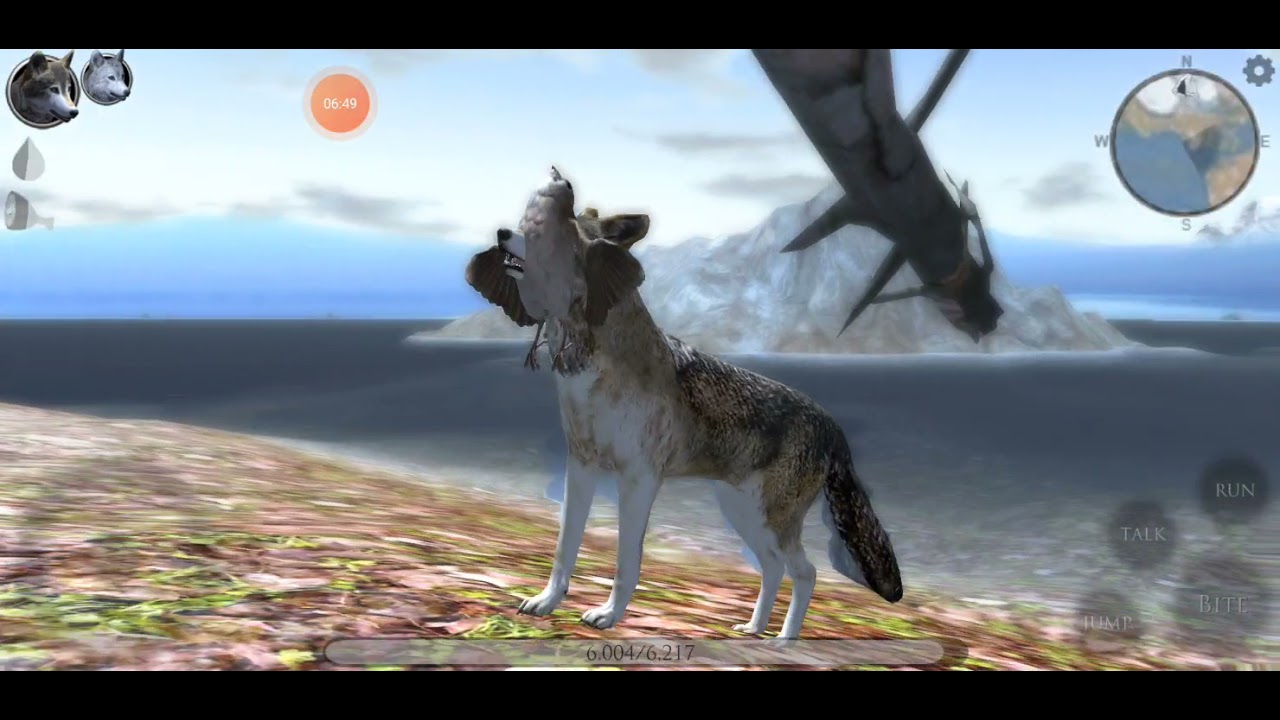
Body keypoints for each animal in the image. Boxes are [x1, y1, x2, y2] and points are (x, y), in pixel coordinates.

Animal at [465, 168, 902, 639]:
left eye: (549, 231)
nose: (501, 233)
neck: (589, 363)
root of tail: (830, 424)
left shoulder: (638, 479)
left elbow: (626, 560)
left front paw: (609, 615)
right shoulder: (580, 467)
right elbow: (565, 547)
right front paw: (547, 602)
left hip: (769, 520)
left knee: (806, 572)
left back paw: (784, 640)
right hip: (745, 515)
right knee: (773, 568)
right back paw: (753, 629)